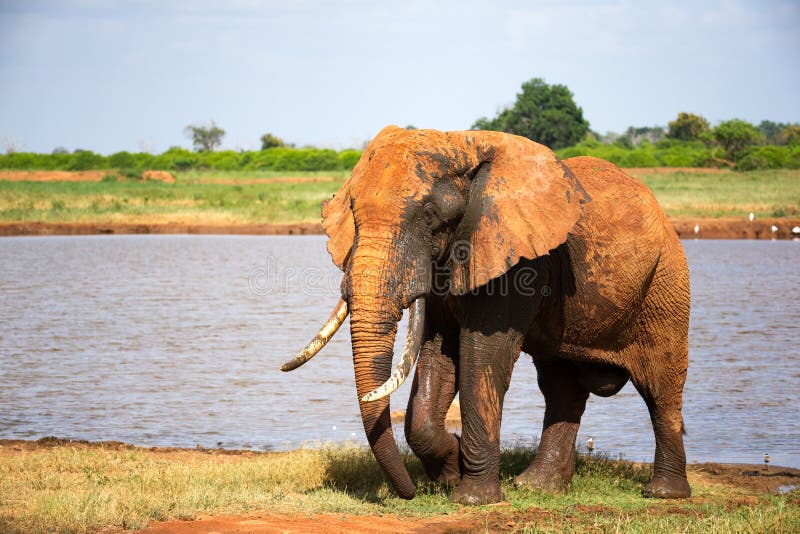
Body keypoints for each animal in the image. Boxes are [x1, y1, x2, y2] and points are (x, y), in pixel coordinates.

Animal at [282, 126, 691, 505]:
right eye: (353, 214)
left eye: (429, 215)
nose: (409, 492)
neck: (461, 142)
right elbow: (439, 354)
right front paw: (450, 470)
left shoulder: (513, 257)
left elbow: (482, 356)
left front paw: (471, 497)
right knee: (561, 387)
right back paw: (537, 487)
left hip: (666, 283)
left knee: (660, 387)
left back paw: (663, 493)